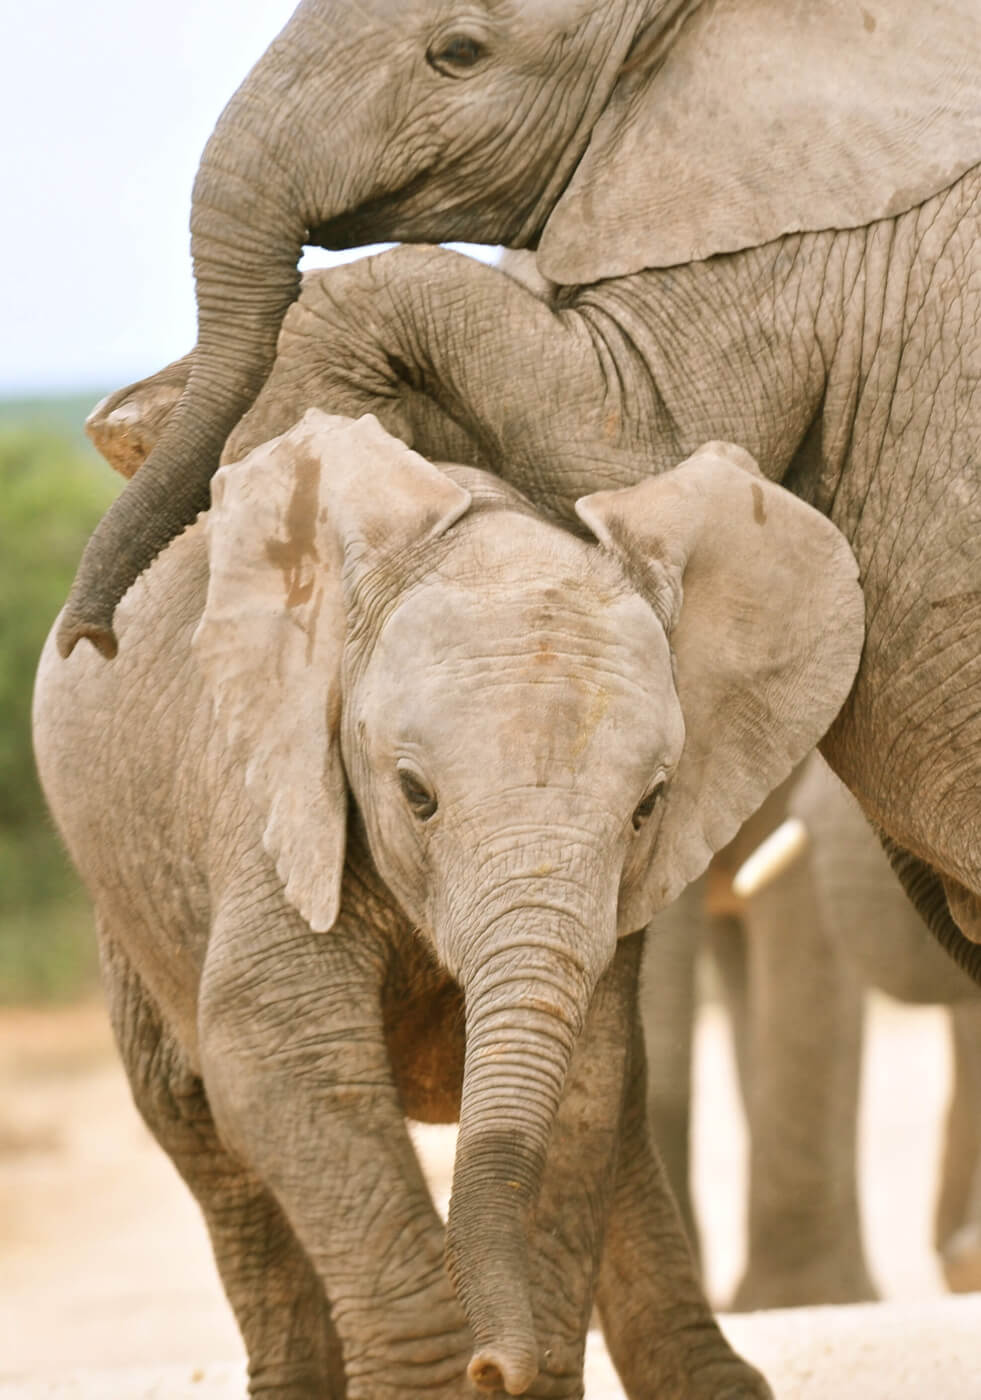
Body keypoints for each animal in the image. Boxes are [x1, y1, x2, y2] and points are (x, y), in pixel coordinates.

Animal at [35, 410, 866, 1396]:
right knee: (196, 1125)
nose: (494, 1365)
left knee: (618, 1108)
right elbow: (281, 1056)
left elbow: (583, 1080)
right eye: (415, 795)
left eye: (647, 807)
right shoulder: (274, 798)